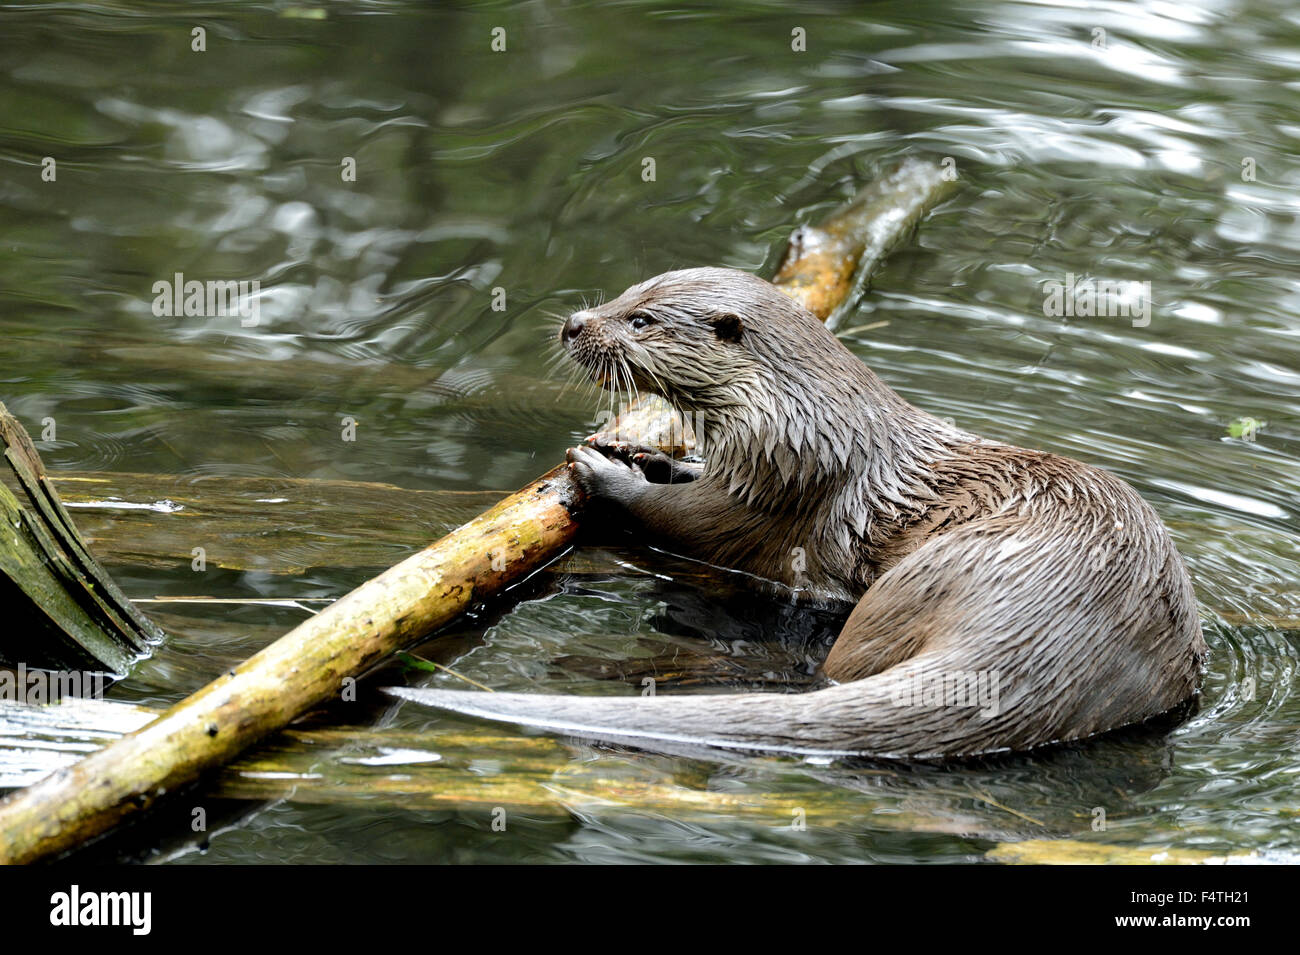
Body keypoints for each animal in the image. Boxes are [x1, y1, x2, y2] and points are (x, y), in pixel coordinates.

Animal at [390, 267, 1207, 758]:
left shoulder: (776, 488)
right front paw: (647, 453)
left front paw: (601, 469)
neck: (802, 420)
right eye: (627, 291)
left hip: (915, 585)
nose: (574, 322)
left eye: (642, 319)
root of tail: (1043, 639)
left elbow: (695, 523)